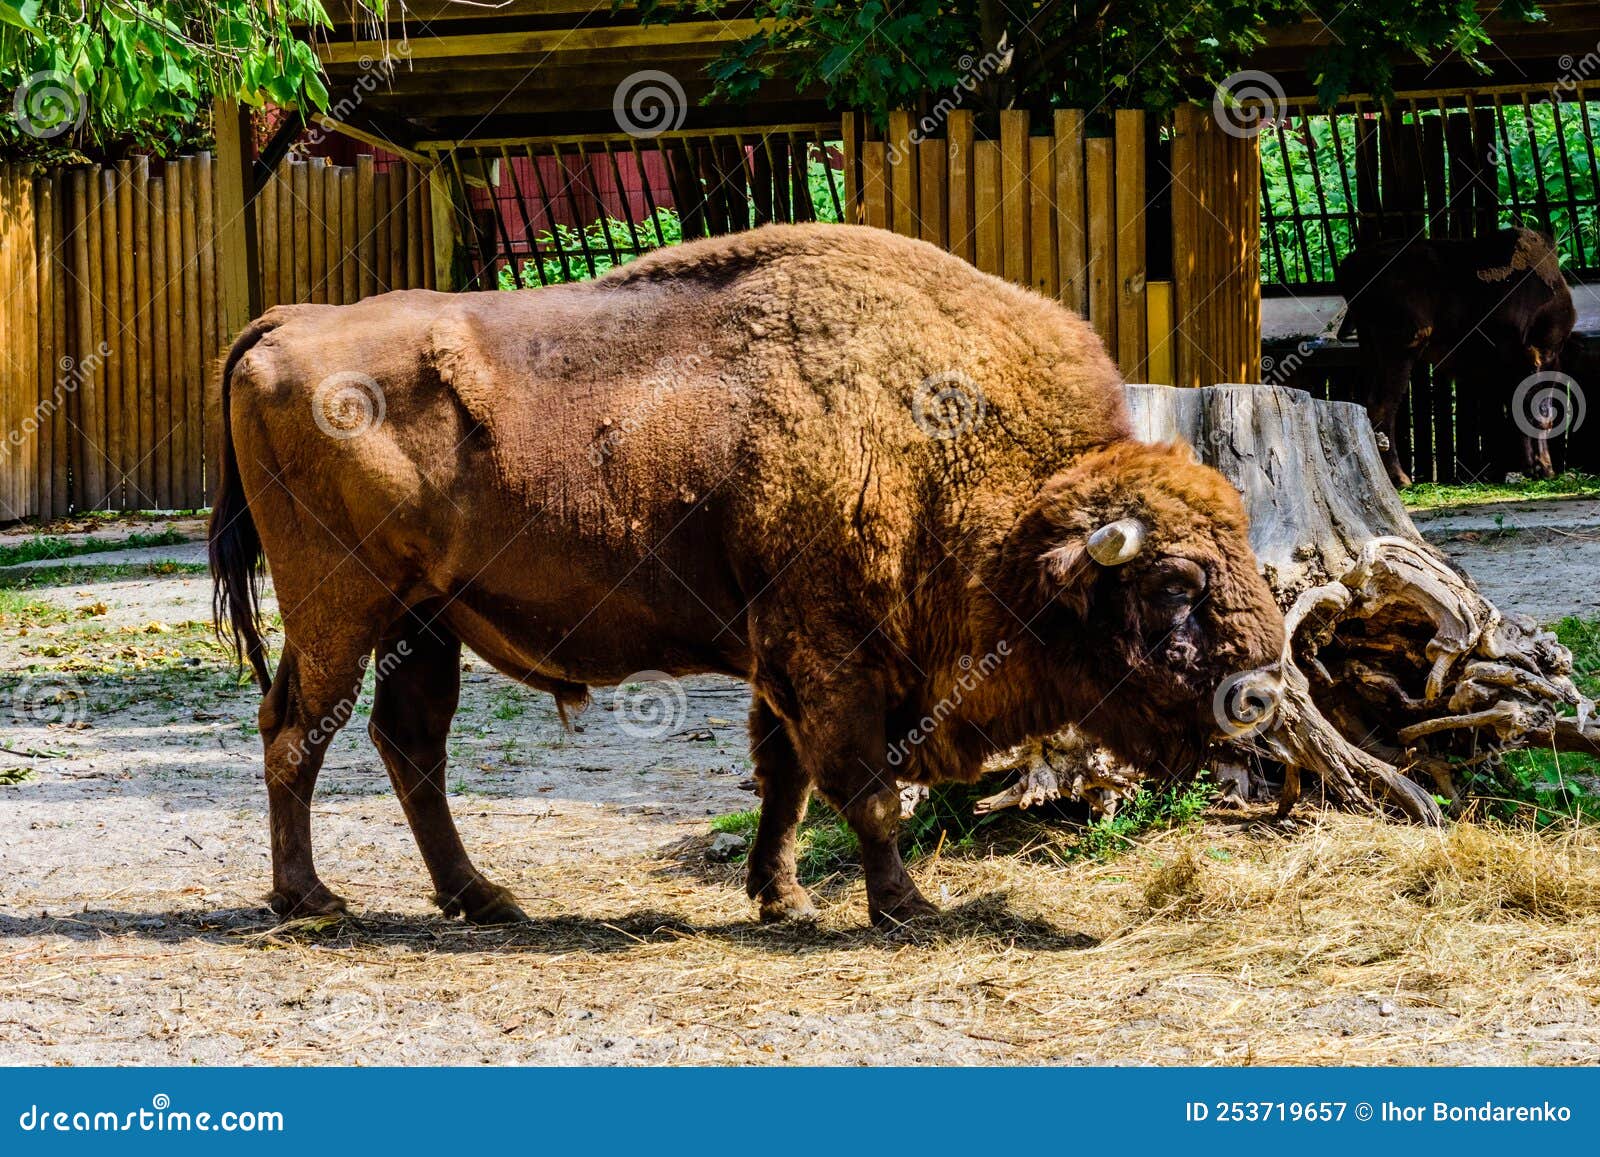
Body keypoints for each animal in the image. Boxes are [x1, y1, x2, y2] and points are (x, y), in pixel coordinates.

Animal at [210, 223, 1285, 928]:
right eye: (1173, 586)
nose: (1261, 693)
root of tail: (284, 323)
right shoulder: (830, 657)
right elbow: (862, 786)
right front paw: (905, 904)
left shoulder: (788, 662)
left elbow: (786, 778)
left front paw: (783, 896)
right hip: (339, 610)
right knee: (298, 729)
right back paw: (311, 899)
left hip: (424, 620)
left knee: (408, 743)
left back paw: (483, 897)